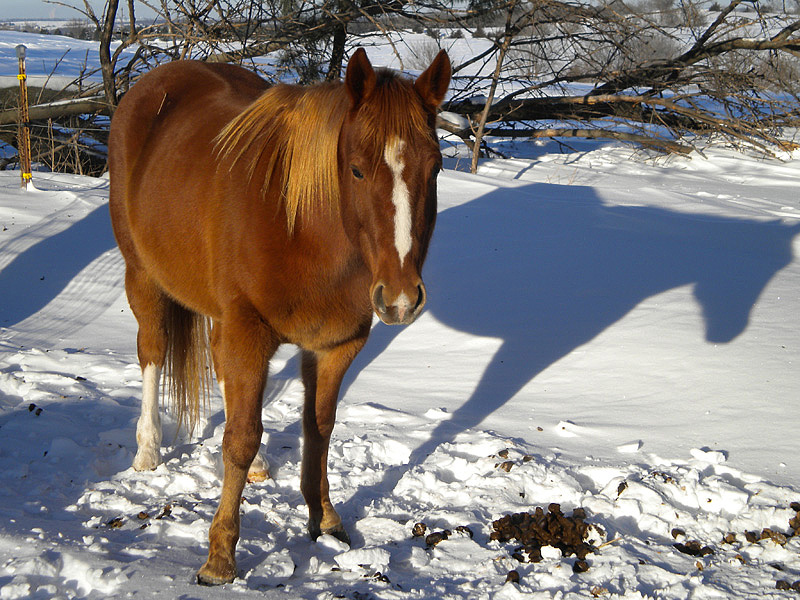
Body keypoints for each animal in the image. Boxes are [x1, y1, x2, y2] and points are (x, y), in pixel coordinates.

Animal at [108, 48, 451, 585]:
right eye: (356, 170)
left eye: (434, 170)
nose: (399, 299)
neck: (304, 229)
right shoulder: (248, 331)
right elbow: (240, 437)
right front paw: (220, 556)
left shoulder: (335, 346)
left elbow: (319, 427)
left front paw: (326, 521)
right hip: (143, 276)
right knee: (153, 351)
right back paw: (148, 450)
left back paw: (259, 467)